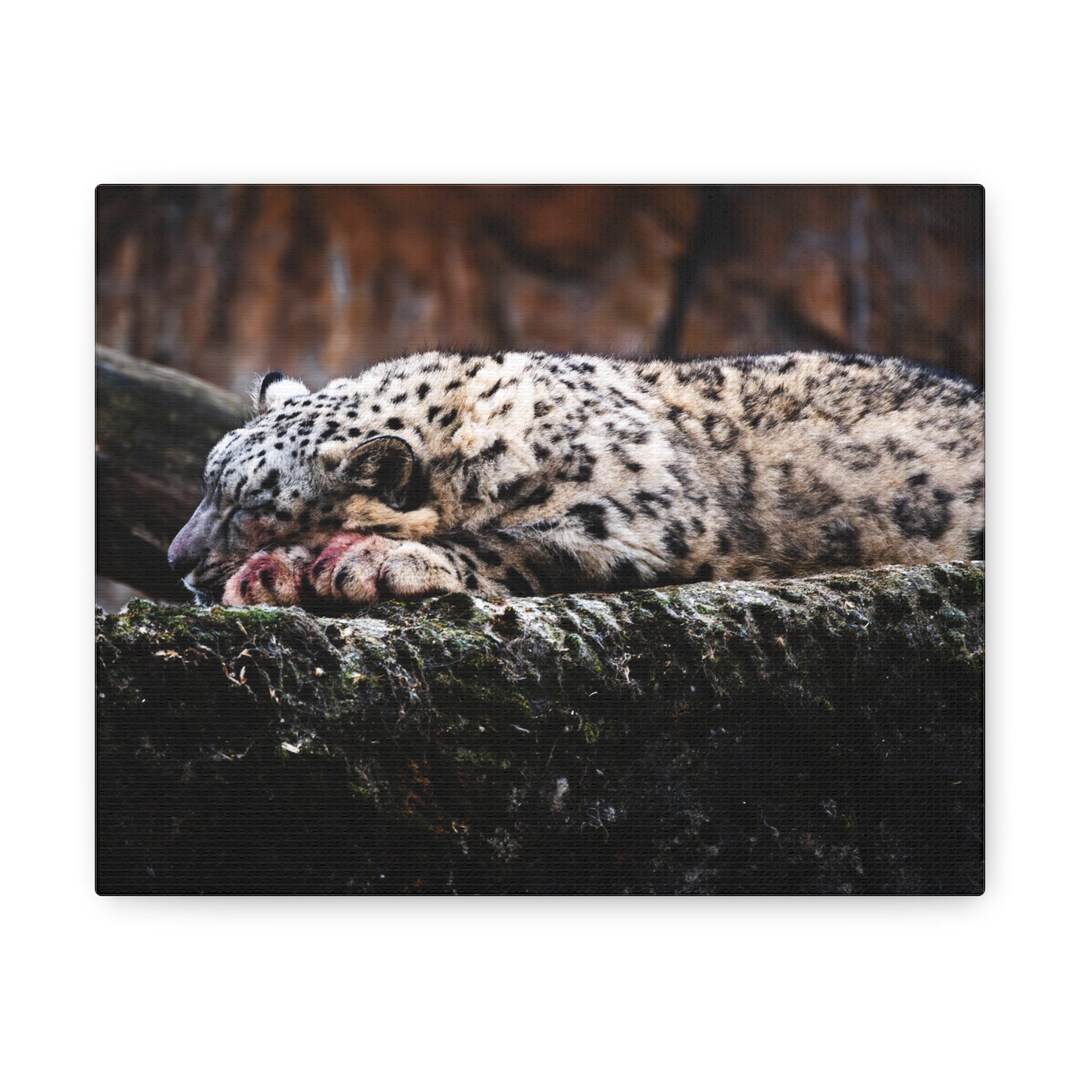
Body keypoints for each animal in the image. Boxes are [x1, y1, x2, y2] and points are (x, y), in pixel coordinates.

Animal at [167, 349, 984, 608]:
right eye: (207, 482)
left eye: (252, 506)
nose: (175, 559)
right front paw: (269, 576)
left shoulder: (643, 521)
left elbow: (506, 544)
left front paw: (368, 559)